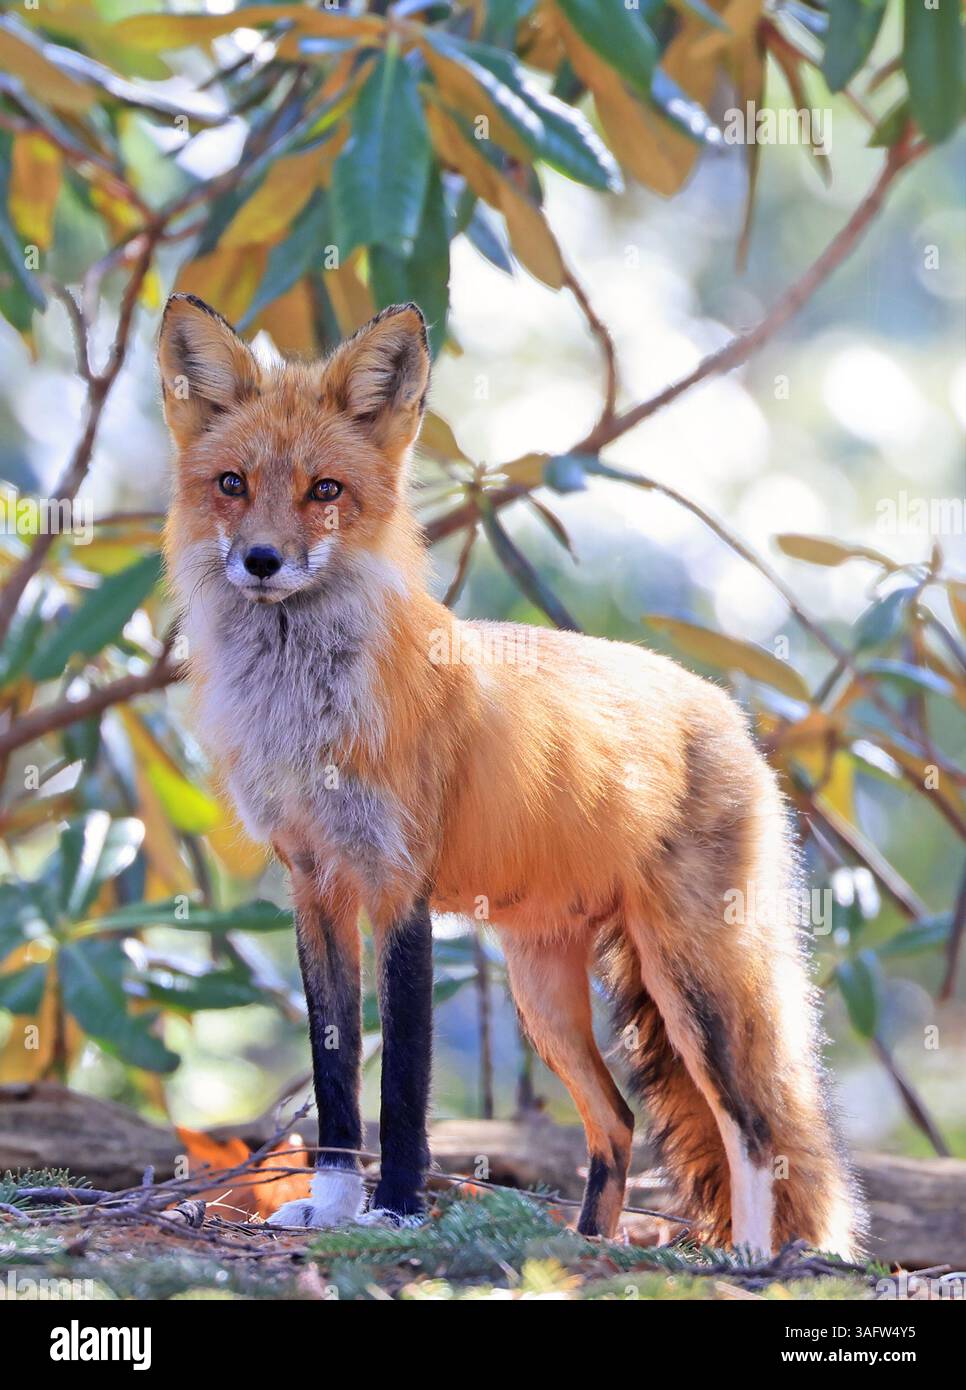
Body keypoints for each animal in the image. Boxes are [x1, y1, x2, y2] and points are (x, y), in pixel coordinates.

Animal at [158, 293, 865, 1254]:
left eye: (324, 491)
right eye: (232, 484)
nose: (262, 561)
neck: (309, 716)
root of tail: (730, 715)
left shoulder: (399, 888)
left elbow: (402, 1085)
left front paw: (396, 1212)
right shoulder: (315, 885)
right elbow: (336, 1077)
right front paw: (335, 1205)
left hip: (695, 981)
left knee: (753, 1131)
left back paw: (751, 1258)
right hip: (545, 994)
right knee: (618, 1121)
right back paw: (585, 1245)